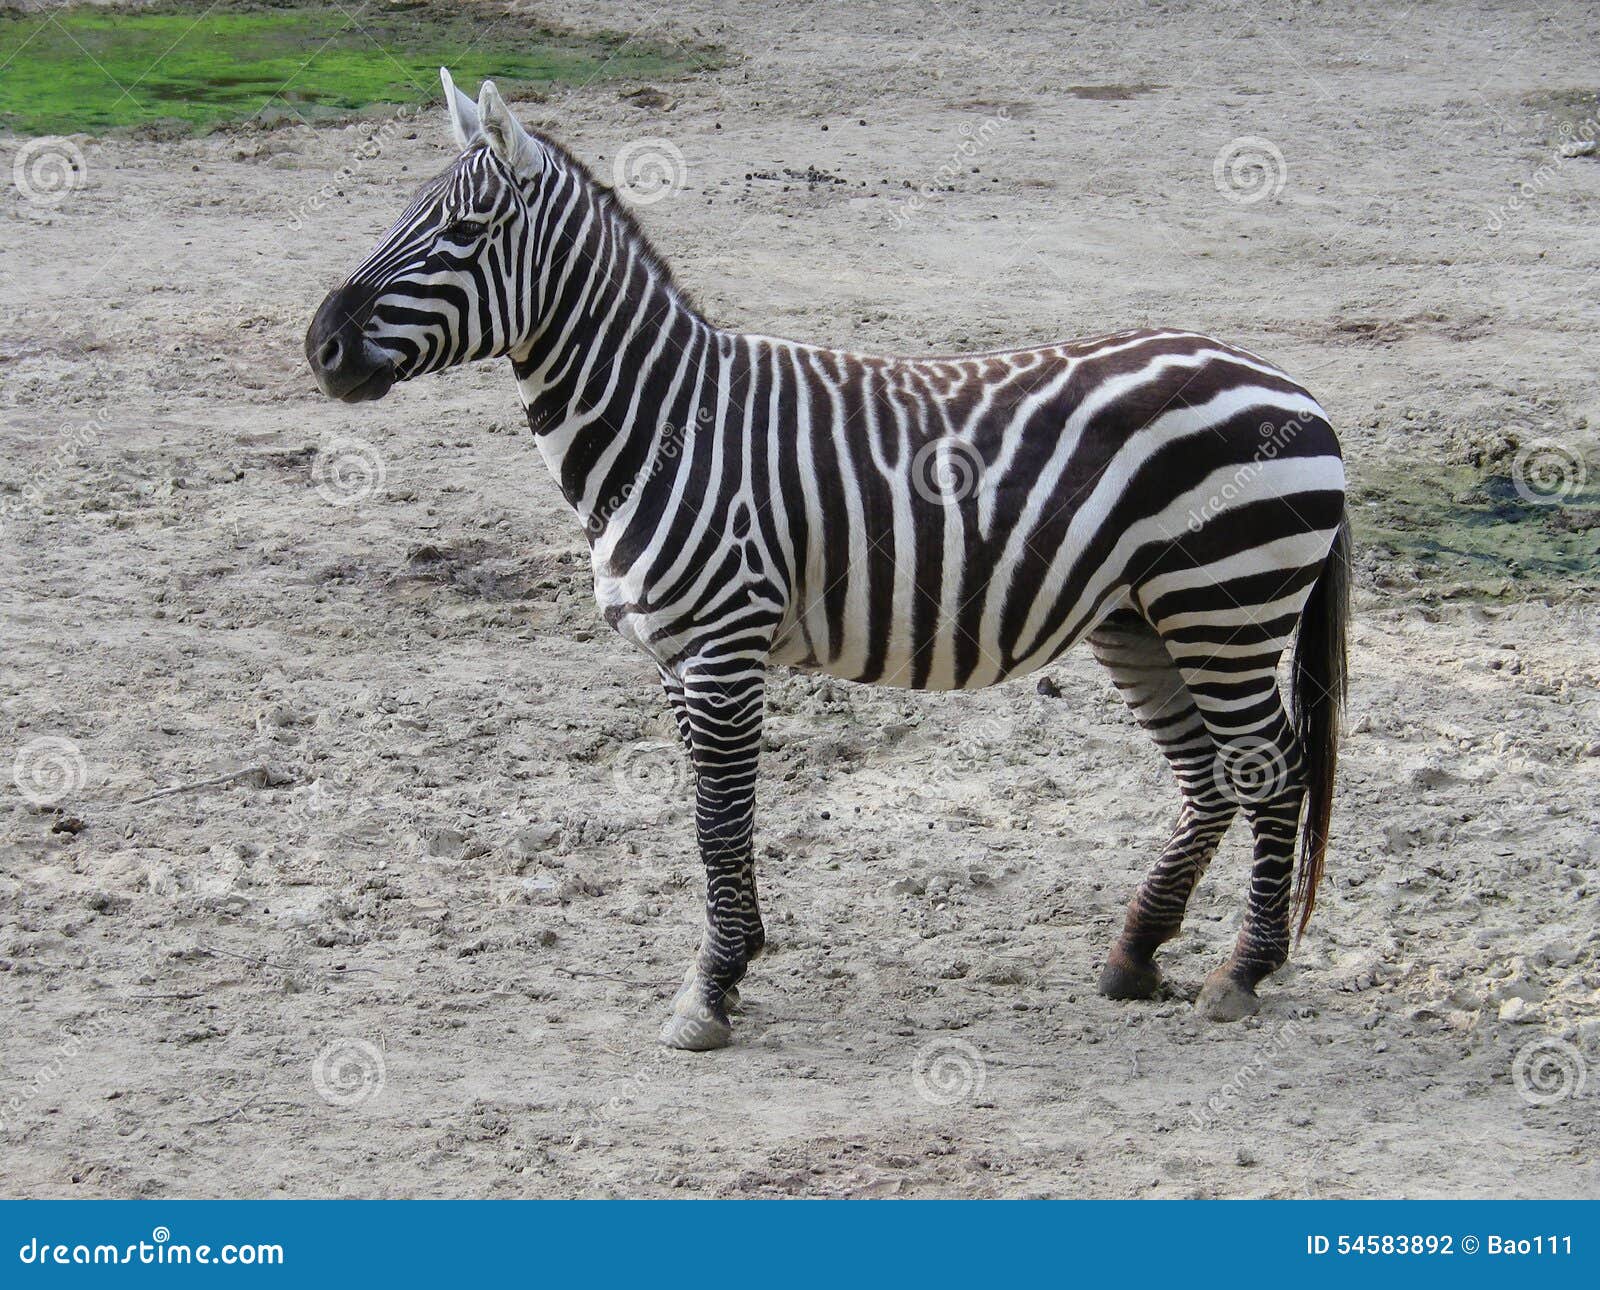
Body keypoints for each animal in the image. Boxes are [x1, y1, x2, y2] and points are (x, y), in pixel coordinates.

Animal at [306, 72, 1351, 1051]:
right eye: (404, 214)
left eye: (464, 230)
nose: (321, 349)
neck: (664, 425)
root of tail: (1292, 387)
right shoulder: (678, 658)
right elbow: (719, 823)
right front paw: (734, 962)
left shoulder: (722, 648)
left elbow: (718, 820)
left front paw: (708, 991)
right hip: (1143, 619)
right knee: (1210, 777)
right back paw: (1135, 952)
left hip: (1224, 606)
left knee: (1273, 770)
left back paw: (1242, 972)